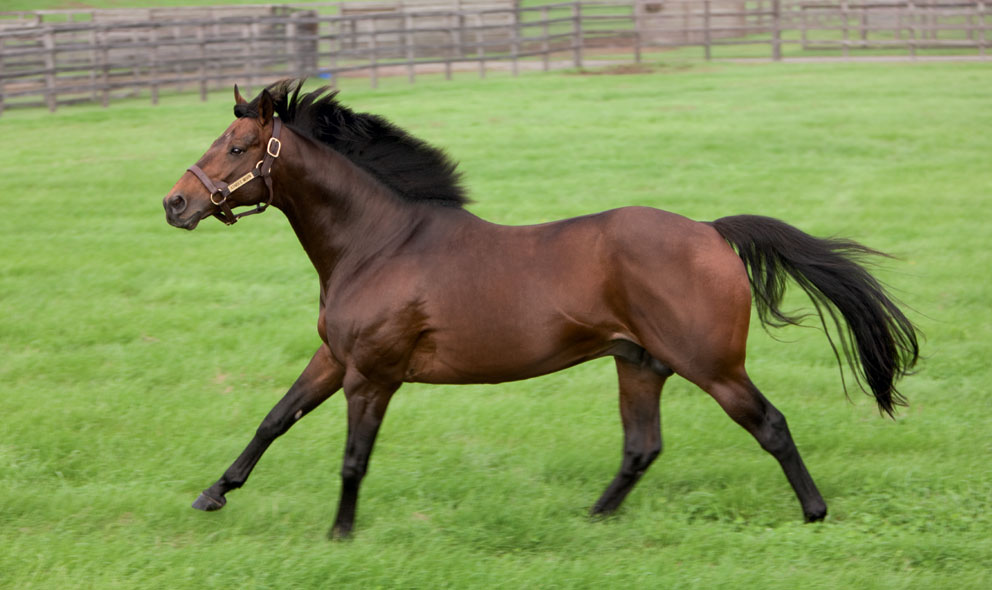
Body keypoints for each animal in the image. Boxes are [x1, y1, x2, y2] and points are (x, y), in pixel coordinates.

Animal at [163, 80, 918, 538]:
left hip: (710, 365)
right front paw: (212, 494)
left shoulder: (372, 375)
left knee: (771, 425)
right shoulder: (334, 358)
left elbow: (353, 458)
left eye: (237, 147)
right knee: (642, 447)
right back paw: (593, 518)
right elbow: (274, 420)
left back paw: (814, 512)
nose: (175, 203)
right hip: (640, 363)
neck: (379, 243)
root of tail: (710, 232)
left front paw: (340, 532)